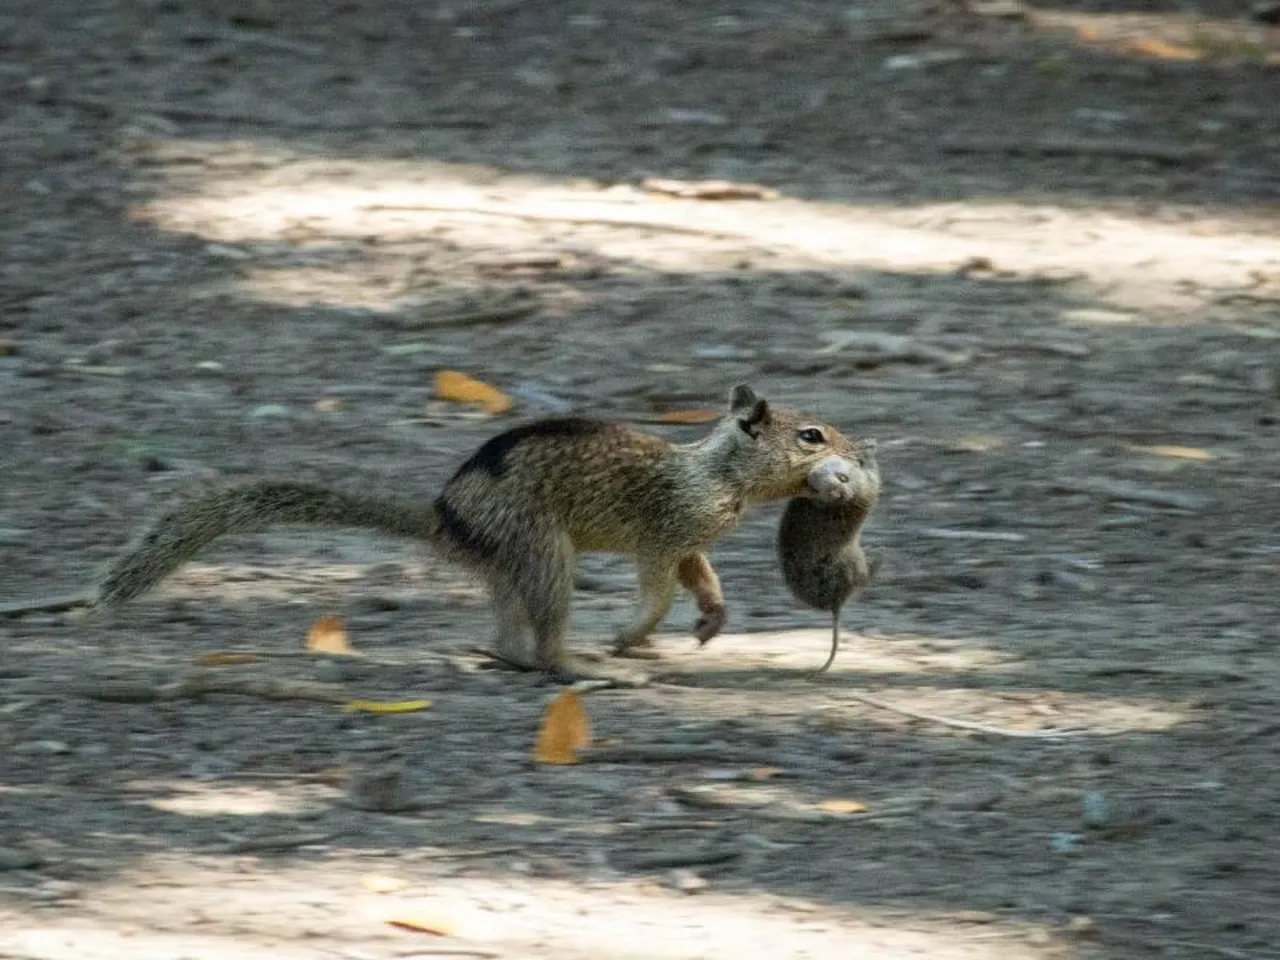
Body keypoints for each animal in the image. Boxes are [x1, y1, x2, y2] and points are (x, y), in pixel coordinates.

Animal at [70, 384, 868, 686]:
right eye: (811, 435)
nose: (861, 454)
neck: (718, 472)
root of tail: (444, 516)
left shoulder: (691, 540)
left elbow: (702, 576)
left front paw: (712, 618)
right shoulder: (664, 532)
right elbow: (658, 588)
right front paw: (633, 635)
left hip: (513, 565)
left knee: (510, 641)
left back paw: (511, 655)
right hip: (544, 552)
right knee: (544, 647)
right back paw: (589, 664)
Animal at [776, 442, 882, 676]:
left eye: (843, 477)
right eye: (815, 487)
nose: (839, 494)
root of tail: (836, 603)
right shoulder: (868, 486)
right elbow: (873, 473)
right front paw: (867, 448)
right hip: (853, 562)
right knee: (863, 579)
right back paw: (879, 559)